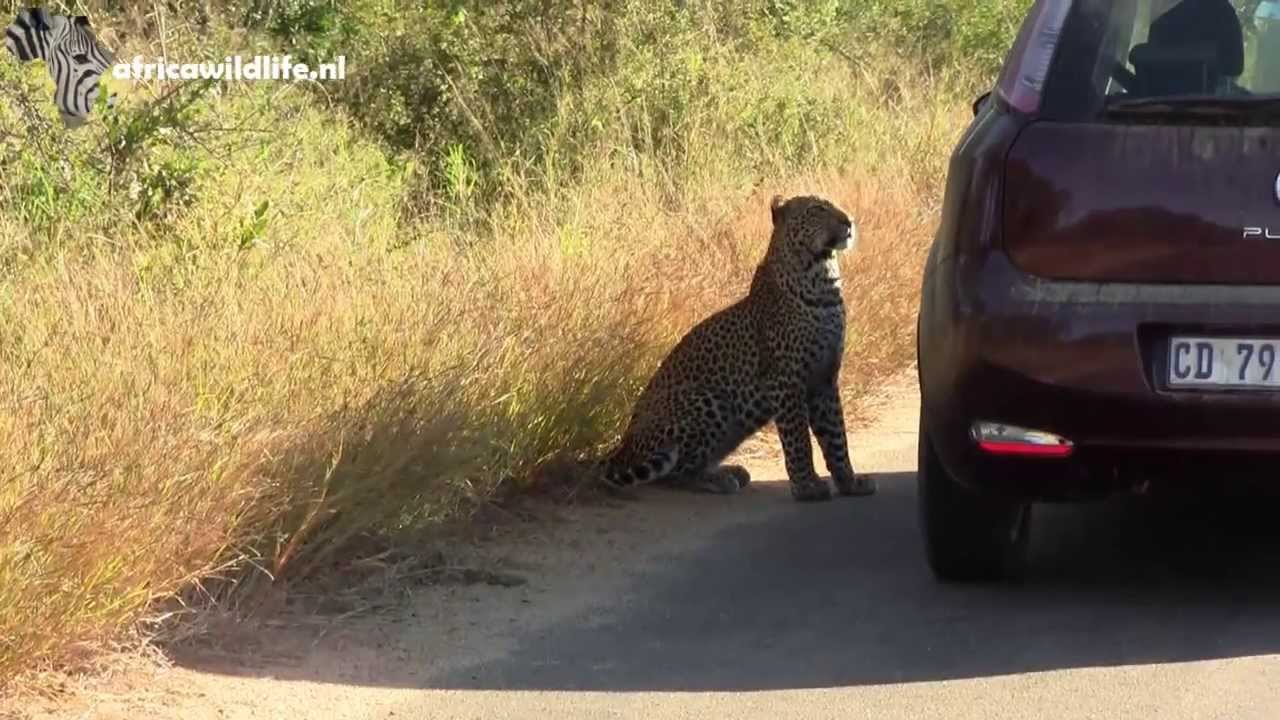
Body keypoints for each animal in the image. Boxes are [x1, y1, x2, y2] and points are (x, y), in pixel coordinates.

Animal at [600, 194, 877, 503]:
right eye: (816, 209)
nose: (848, 221)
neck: (822, 277)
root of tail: (622, 449)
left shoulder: (825, 379)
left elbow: (837, 438)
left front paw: (850, 483)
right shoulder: (785, 380)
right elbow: (798, 439)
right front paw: (807, 486)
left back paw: (730, 471)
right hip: (708, 399)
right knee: (675, 472)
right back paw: (718, 479)